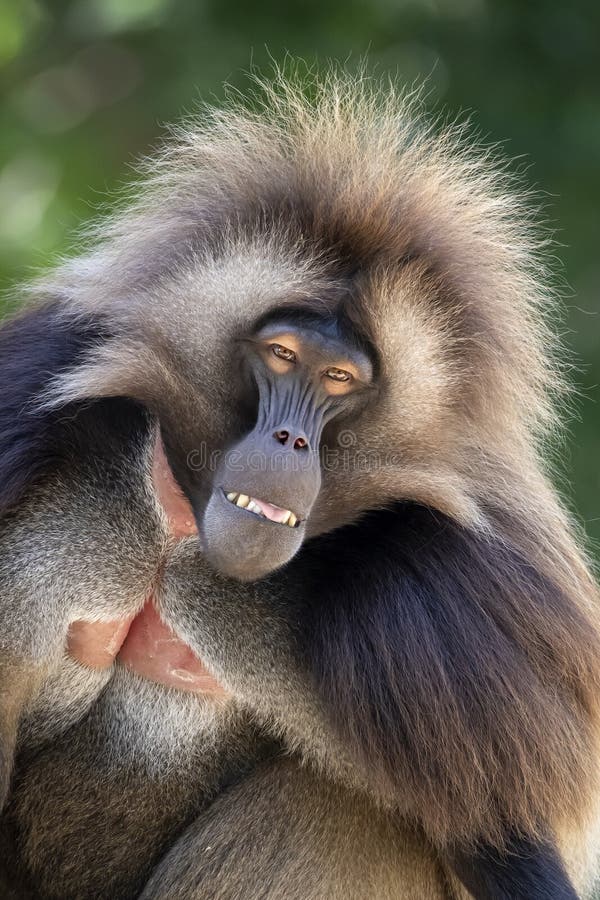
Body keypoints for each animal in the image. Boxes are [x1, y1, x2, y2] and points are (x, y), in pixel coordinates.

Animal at [0, 69, 599, 899]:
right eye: (281, 355)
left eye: (340, 379)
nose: (290, 440)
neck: (183, 536)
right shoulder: (38, 394)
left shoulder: (438, 608)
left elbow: (503, 844)